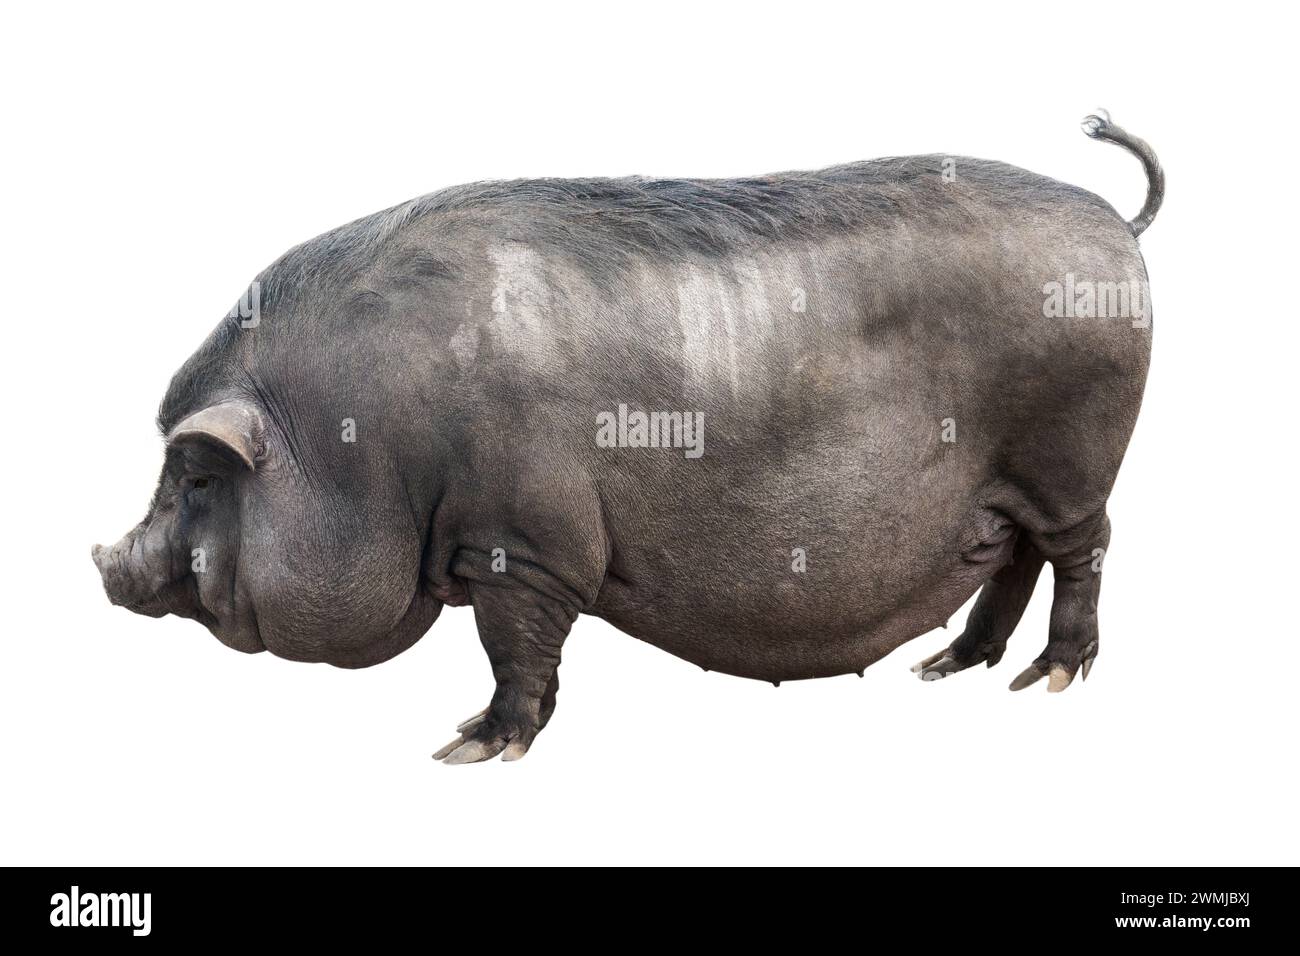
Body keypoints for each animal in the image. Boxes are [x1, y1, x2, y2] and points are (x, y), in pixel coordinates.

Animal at [93, 110, 1162, 763]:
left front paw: (469, 748)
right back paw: (948, 670)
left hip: (1076, 459)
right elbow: (528, 652)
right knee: (1014, 556)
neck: (357, 443)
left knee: (1084, 551)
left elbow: (515, 647)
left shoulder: (524, 545)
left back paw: (1047, 680)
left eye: (196, 479)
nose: (103, 563)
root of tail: (1118, 221)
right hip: (1017, 484)